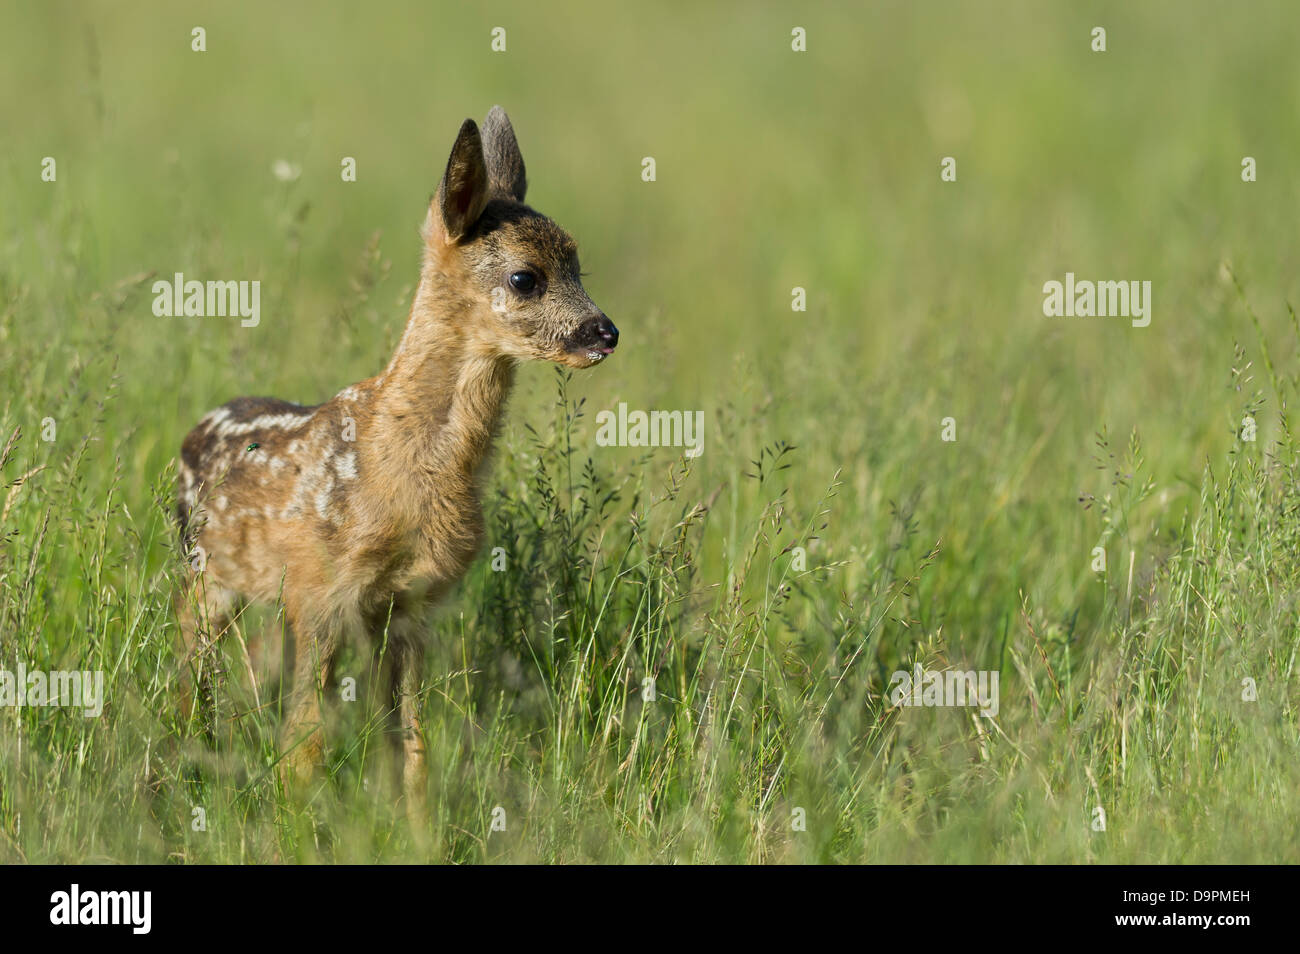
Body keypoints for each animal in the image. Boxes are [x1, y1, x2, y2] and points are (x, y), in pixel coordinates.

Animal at [174, 106, 619, 820]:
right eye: (526, 277)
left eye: (579, 263)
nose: (605, 333)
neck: (406, 464)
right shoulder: (322, 593)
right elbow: (306, 743)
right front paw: (298, 825)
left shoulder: (408, 608)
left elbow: (410, 745)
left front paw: (415, 827)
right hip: (205, 578)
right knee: (195, 674)